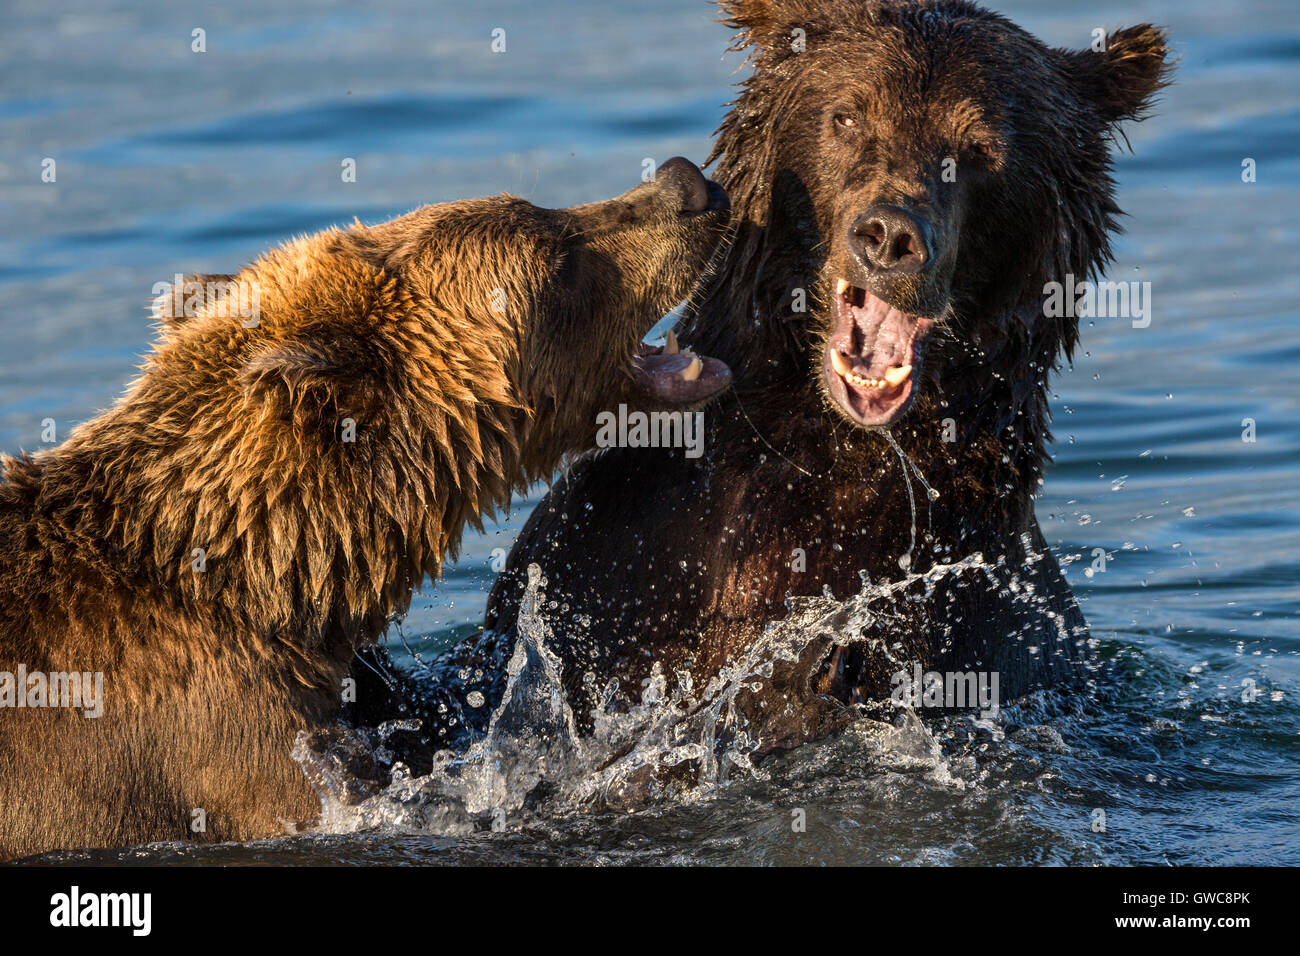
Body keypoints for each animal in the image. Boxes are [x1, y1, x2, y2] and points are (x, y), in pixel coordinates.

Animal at [392, 0, 1173, 787]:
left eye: (981, 146)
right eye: (848, 115)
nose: (890, 236)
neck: (820, 451)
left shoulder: (967, 613)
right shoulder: (609, 559)